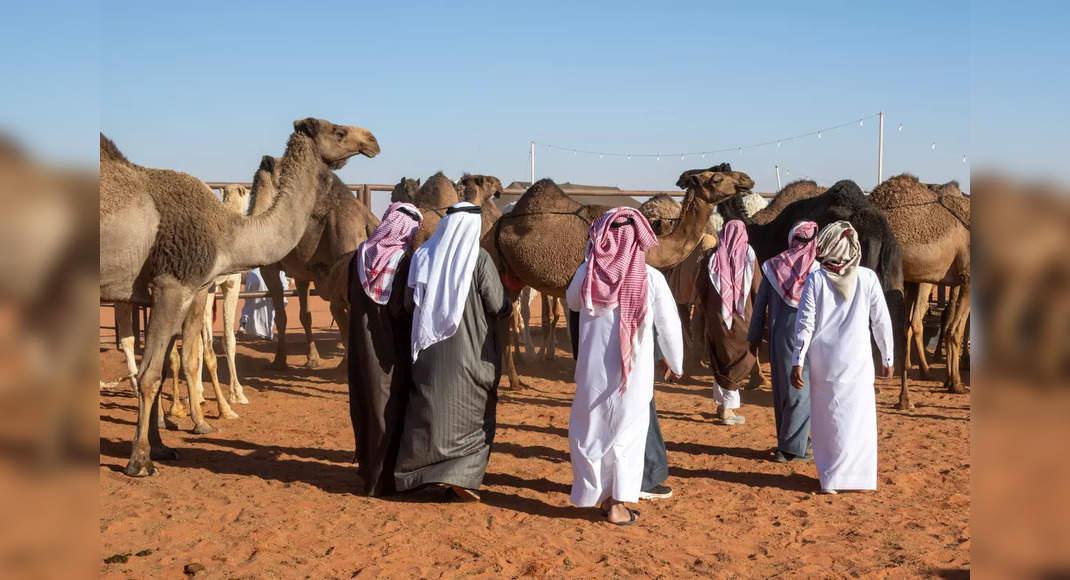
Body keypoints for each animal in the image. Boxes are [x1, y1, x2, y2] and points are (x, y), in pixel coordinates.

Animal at [100, 117, 380, 476]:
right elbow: (152, 373)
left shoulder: (184, 289)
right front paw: (140, 460)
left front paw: (162, 446)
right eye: (338, 131)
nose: (372, 140)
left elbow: (165, 366)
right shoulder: (170, 285)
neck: (227, 232)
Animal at [871, 174, 970, 403]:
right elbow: (957, 330)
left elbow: (950, 324)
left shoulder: (957, 280)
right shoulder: (967, 276)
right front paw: (957, 383)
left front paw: (949, 381)